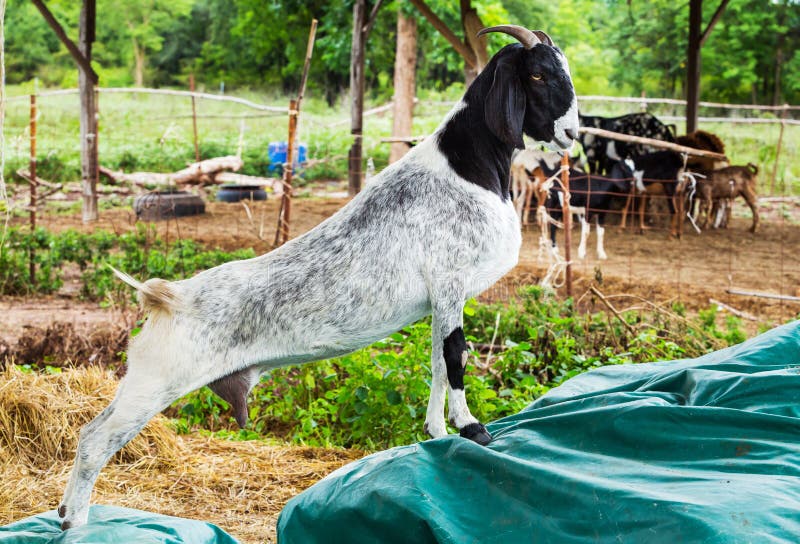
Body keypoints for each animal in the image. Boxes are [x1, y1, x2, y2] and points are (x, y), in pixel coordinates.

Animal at [57, 25, 579, 531]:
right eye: (537, 75)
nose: (573, 132)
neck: (464, 165)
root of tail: (168, 297)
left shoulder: (440, 301)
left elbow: (435, 361)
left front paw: (437, 431)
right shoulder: (451, 284)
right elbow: (454, 359)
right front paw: (473, 429)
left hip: (144, 380)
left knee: (92, 430)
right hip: (157, 381)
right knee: (94, 439)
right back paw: (74, 521)